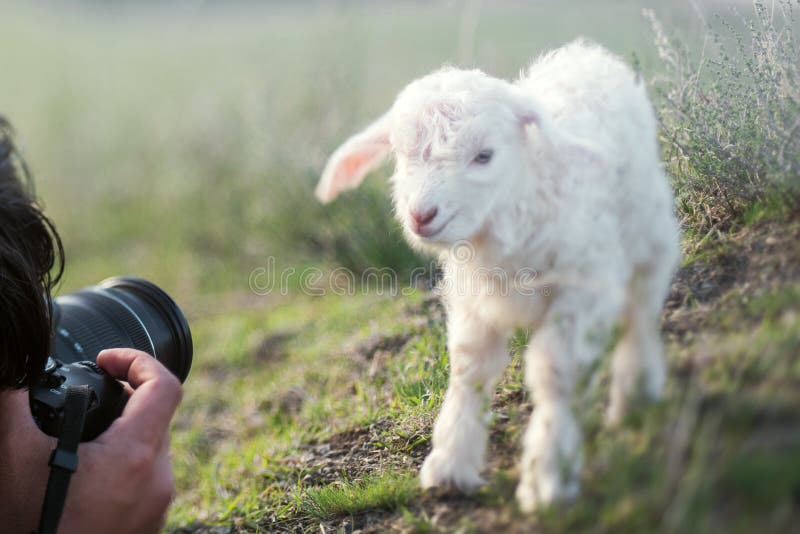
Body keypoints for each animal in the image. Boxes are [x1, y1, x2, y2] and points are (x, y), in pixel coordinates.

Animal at [314, 39, 680, 512]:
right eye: (401, 153)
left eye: (484, 156)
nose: (421, 215)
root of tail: (586, 53)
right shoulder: (473, 300)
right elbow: (469, 370)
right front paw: (451, 464)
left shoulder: (582, 289)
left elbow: (556, 374)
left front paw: (548, 474)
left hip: (649, 237)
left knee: (640, 313)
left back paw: (637, 393)